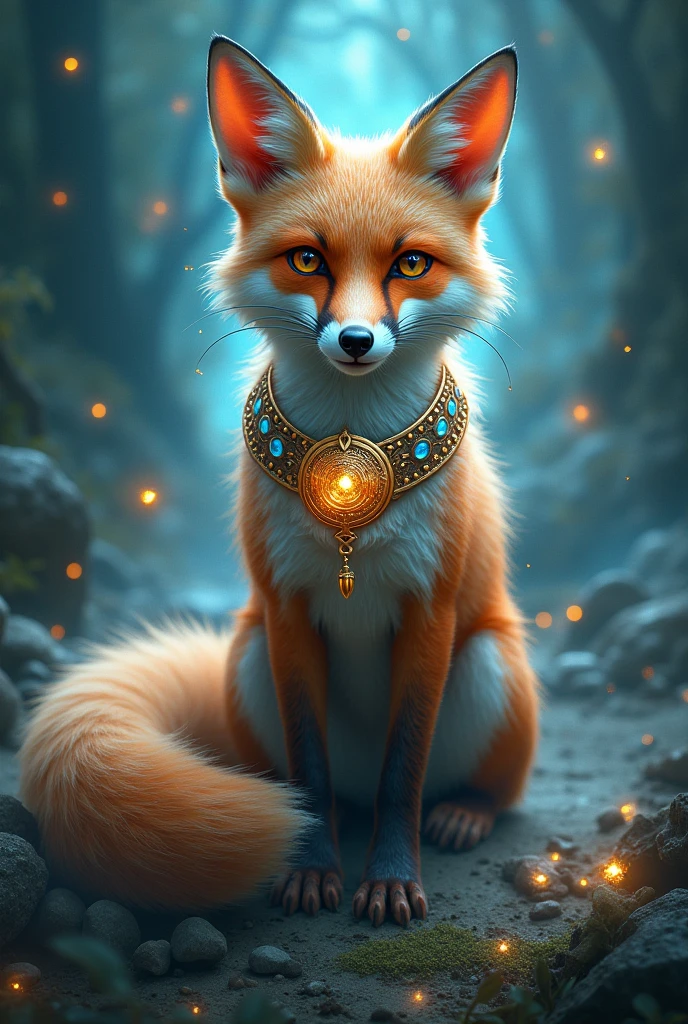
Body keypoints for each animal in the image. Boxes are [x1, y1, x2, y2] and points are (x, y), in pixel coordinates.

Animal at [19, 36, 539, 927]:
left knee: (460, 788)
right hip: (249, 655)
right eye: (307, 260)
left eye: (410, 264)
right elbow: (308, 771)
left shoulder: (430, 613)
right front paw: (311, 868)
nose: (357, 341)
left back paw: (463, 812)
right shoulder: (288, 610)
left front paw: (389, 880)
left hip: (488, 665)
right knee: (330, 787)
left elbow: (405, 773)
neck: (352, 456)